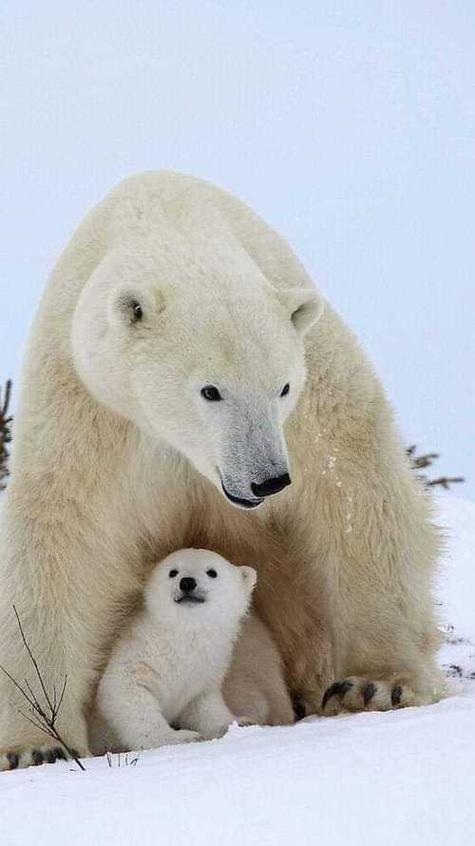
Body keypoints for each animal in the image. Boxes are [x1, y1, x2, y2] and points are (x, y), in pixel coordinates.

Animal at [91, 549, 257, 754]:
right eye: (173, 572)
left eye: (212, 572)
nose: (187, 582)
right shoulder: (138, 652)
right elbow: (125, 691)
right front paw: (181, 737)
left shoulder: (203, 670)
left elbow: (203, 706)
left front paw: (241, 722)